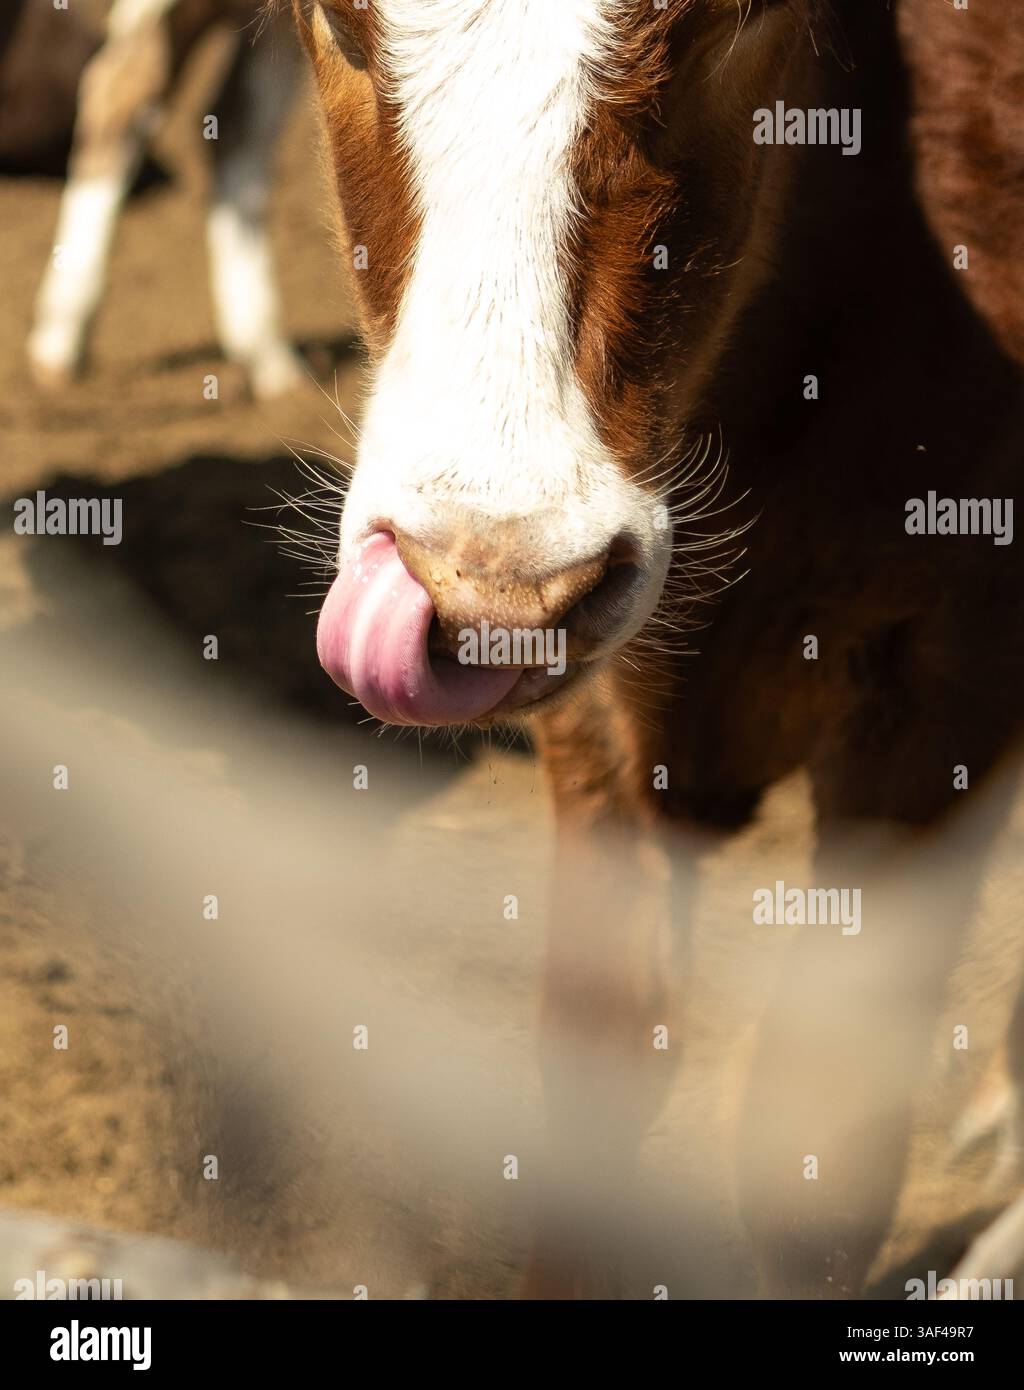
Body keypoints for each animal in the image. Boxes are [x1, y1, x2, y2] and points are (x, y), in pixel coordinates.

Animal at [294, 0, 1024, 1297]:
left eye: (738, 18)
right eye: (334, 18)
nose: (497, 584)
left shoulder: (954, 673)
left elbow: (817, 1167)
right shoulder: (593, 731)